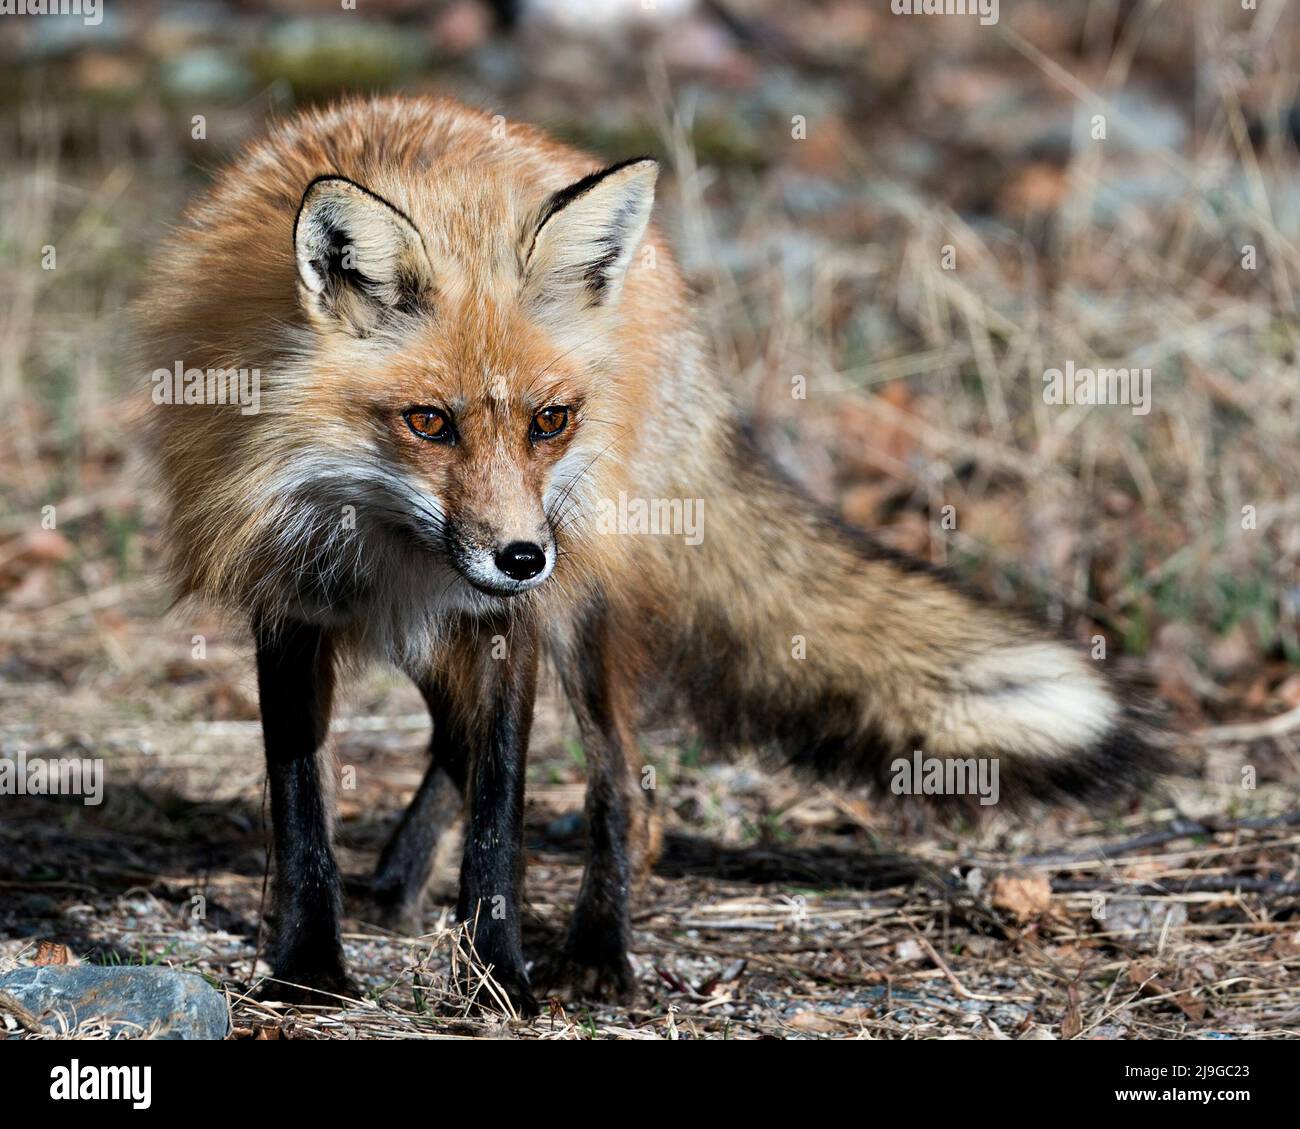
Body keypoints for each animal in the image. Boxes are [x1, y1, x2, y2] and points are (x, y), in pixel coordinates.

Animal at [138, 95, 1162, 1016]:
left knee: (619, 786)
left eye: (550, 419)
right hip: (462, 625)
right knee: (453, 746)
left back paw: (596, 948)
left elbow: (502, 819)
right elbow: (302, 809)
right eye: (428, 422)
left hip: (583, 613)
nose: (522, 556)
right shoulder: (294, 602)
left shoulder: (509, 621)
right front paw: (307, 967)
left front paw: (499, 979)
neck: (380, 532)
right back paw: (398, 883)